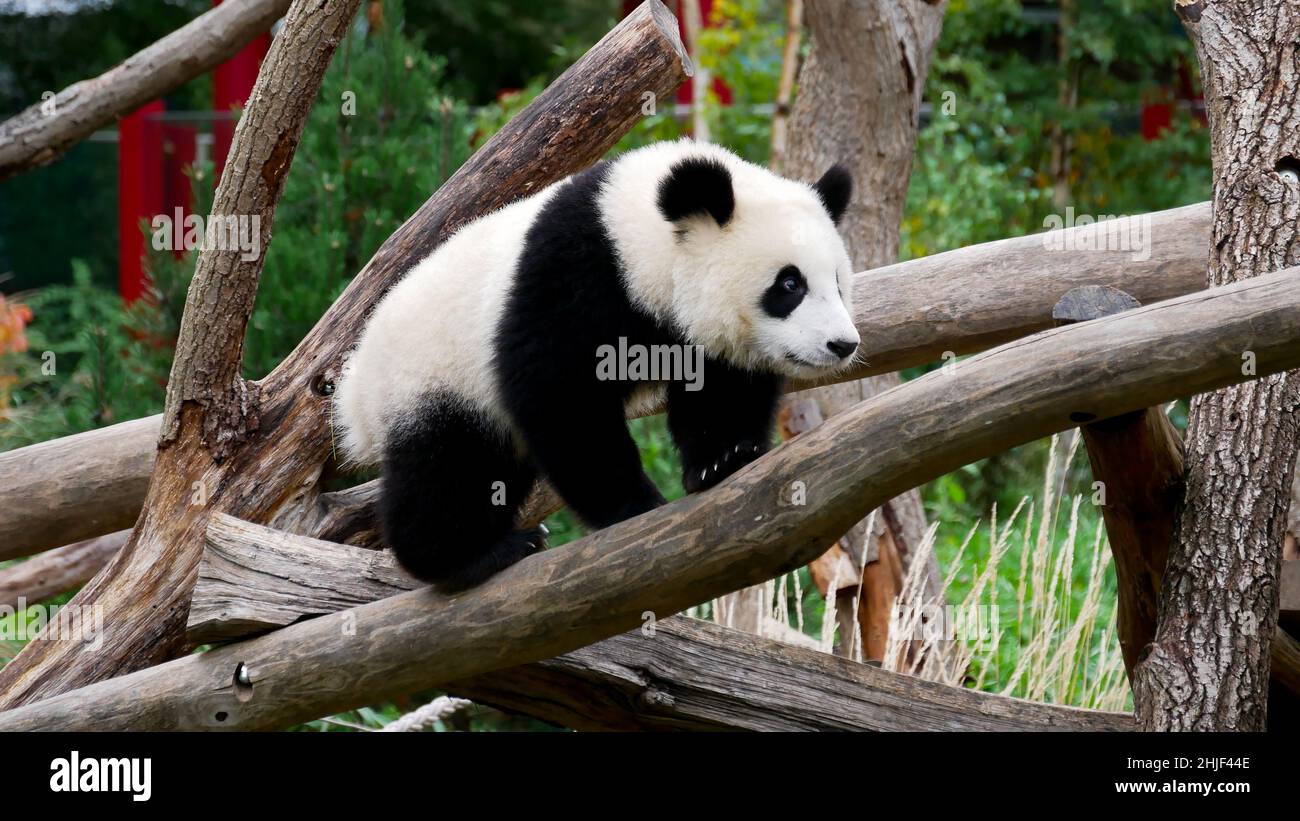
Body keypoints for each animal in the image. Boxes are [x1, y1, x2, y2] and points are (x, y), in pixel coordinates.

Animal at [333, 138, 860, 592]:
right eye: (789, 285)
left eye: (837, 282)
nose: (842, 344)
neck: (635, 233)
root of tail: (354, 388)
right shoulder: (573, 275)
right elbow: (561, 397)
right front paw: (635, 507)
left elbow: (722, 386)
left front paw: (723, 458)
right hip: (433, 377)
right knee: (449, 464)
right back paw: (477, 554)